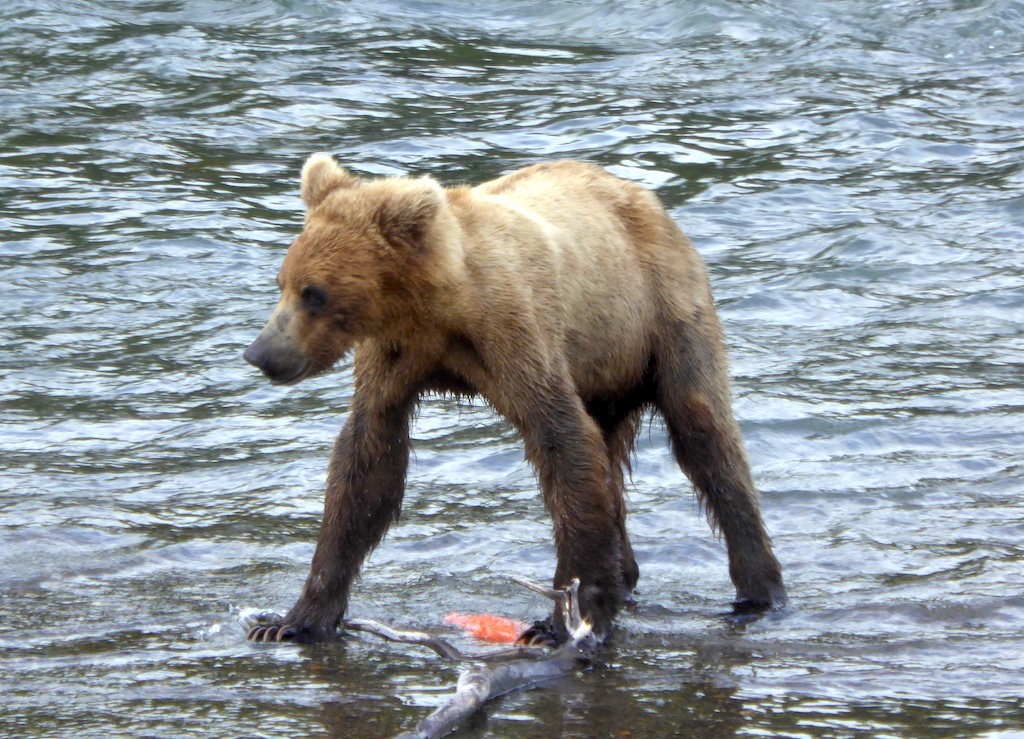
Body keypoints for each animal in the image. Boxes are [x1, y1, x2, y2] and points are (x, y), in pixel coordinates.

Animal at [243, 154, 786, 643]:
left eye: (314, 293)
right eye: (282, 283)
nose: (261, 353)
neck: (440, 305)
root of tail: (644, 197)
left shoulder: (512, 331)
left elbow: (562, 439)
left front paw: (560, 622)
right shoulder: (396, 356)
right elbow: (366, 460)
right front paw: (292, 620)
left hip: (661, 311)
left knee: (705, 435)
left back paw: (759, 590)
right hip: (604, 365)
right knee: (610, 457)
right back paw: (627, 574)